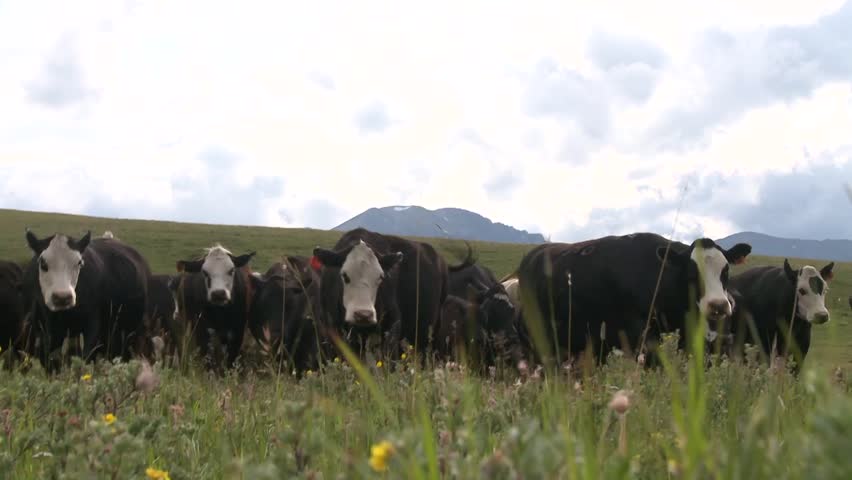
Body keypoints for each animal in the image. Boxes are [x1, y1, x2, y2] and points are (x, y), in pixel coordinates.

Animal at [21, 230, 152, 370]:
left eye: (79, 263)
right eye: (43, 263)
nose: (63, 297)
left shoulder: (92, 325)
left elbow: (86, 357)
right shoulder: (44, 330)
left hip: (134, 331)